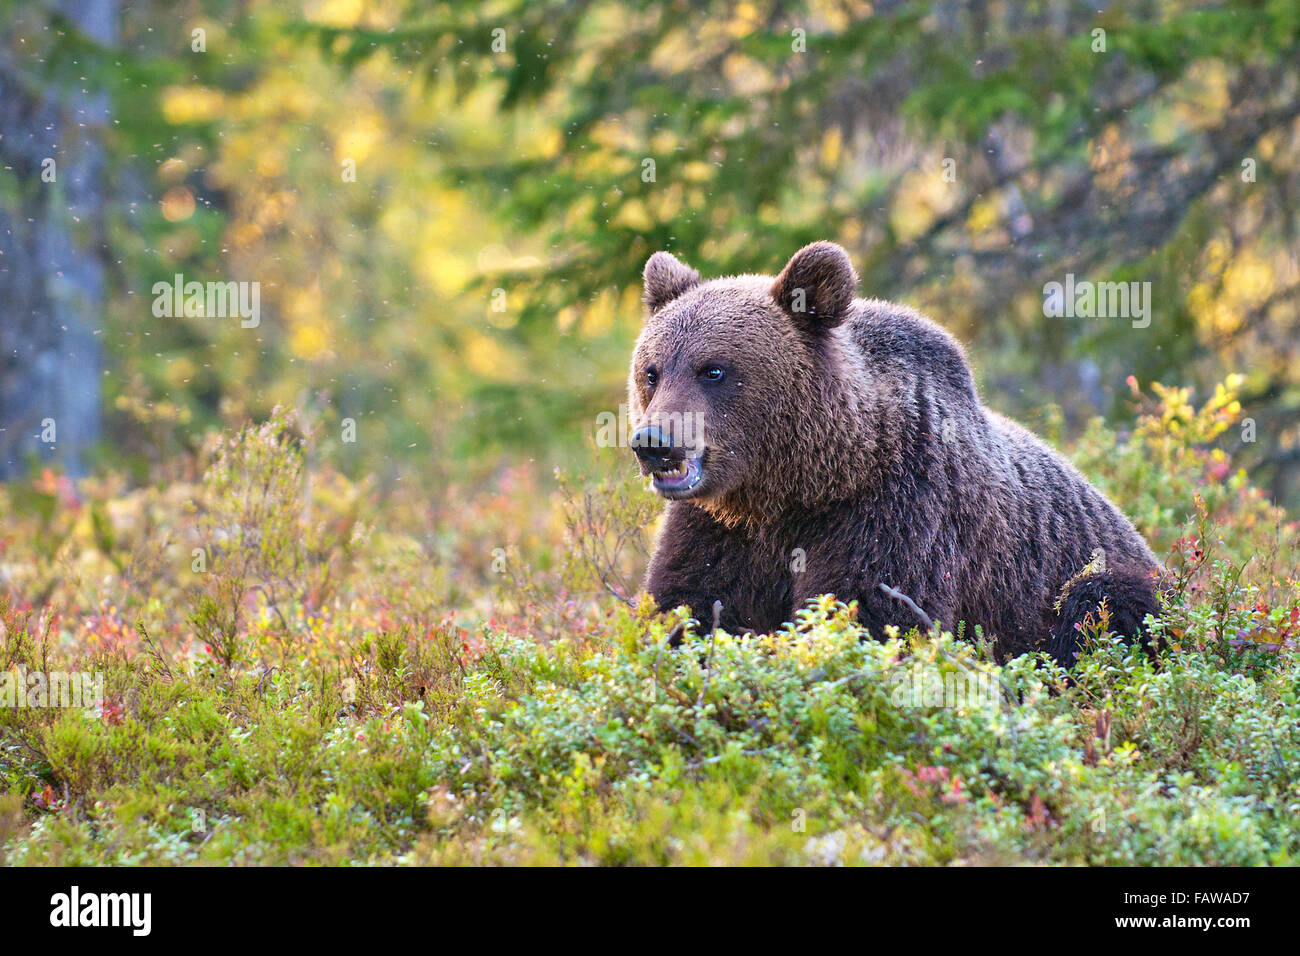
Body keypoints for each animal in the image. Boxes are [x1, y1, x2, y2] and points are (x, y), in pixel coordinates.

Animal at [627, 241, 1162, 666]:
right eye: (652, 371)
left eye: (713, 369)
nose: (652, 442)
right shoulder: (718, 531)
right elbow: (688, 607)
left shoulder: (900, 505)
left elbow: (874, 612)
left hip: (1100, 580)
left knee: (1099, 604)